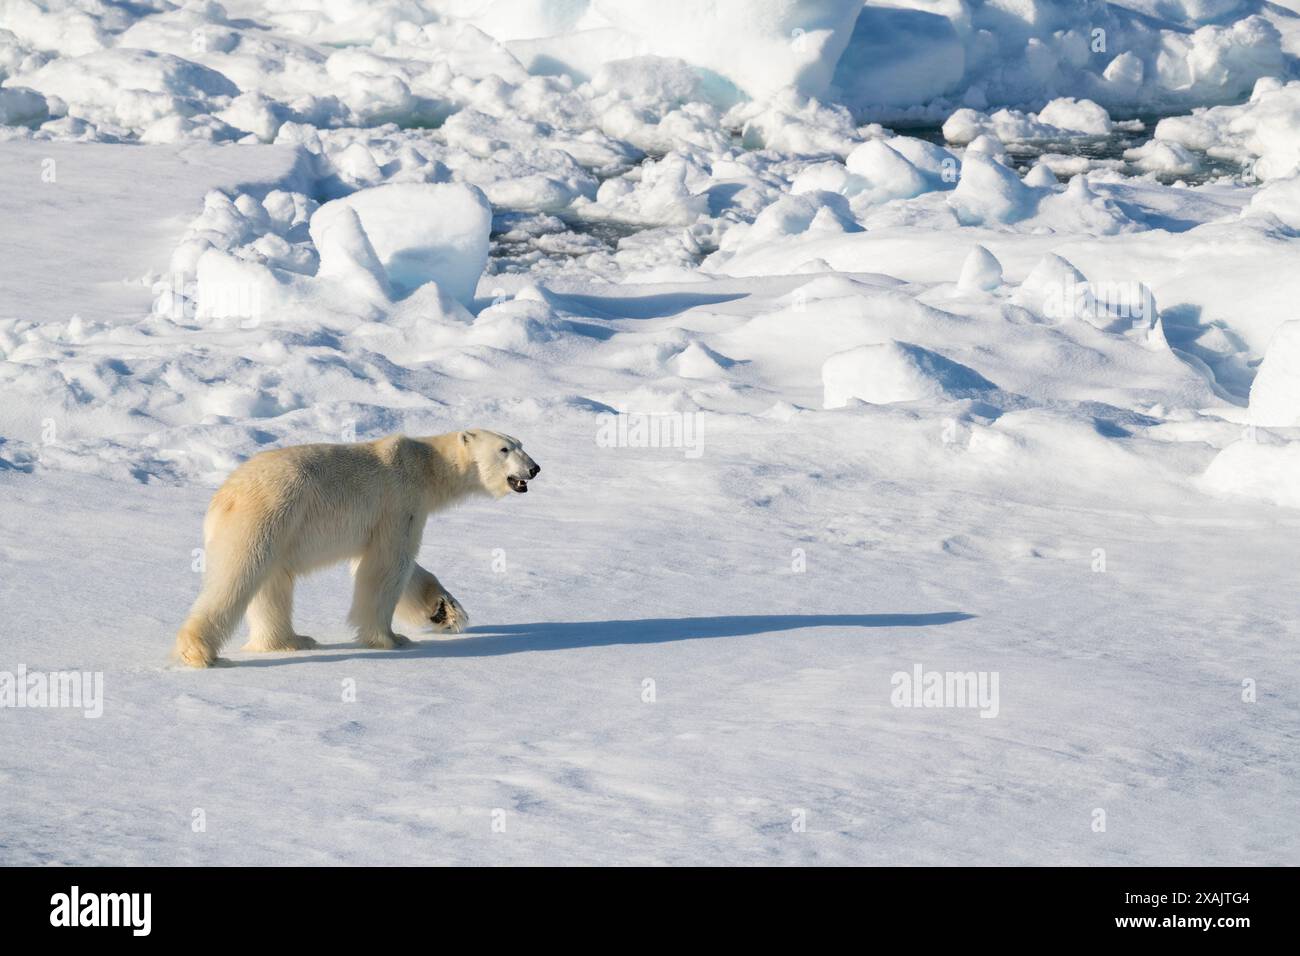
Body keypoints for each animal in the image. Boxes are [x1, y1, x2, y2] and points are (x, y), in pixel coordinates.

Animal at [172, 429, 540, 667]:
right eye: (505, 449)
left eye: (521, 444)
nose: (534, 468)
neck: (425, 464)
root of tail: (222, 498)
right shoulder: (399, 502)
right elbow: (388, 565)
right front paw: (392, 639)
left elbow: (396, 566)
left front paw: (445, 612)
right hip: (267, 514)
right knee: (239, 575)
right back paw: (199, 651)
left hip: (282, 529)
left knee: (272, 583)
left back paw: (291, 640)